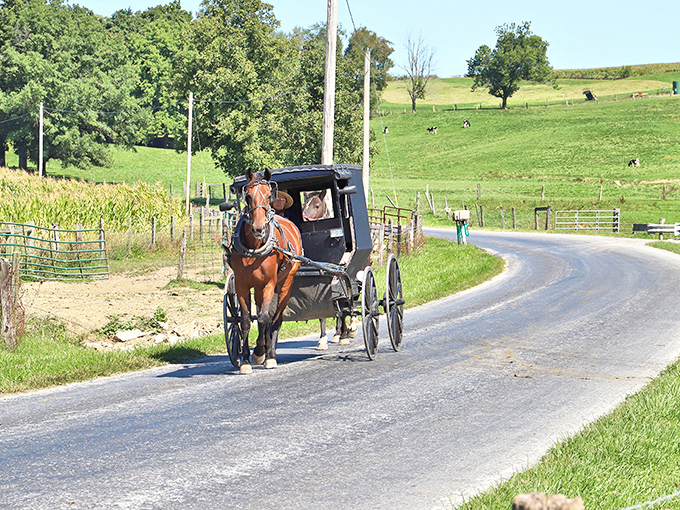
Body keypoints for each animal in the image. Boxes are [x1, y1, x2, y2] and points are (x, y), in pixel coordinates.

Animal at [230, 168, 303, 374]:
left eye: (269, 195)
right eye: (247, 196)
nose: (258, 228)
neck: (254, 248)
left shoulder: (270, 283)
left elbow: (263, 318)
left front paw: (264, 354)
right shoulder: (242, 285)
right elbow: (246, 320)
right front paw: (246, 360)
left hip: (285, 283)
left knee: (275, 318)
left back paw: (270, 353)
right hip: (258, 288)